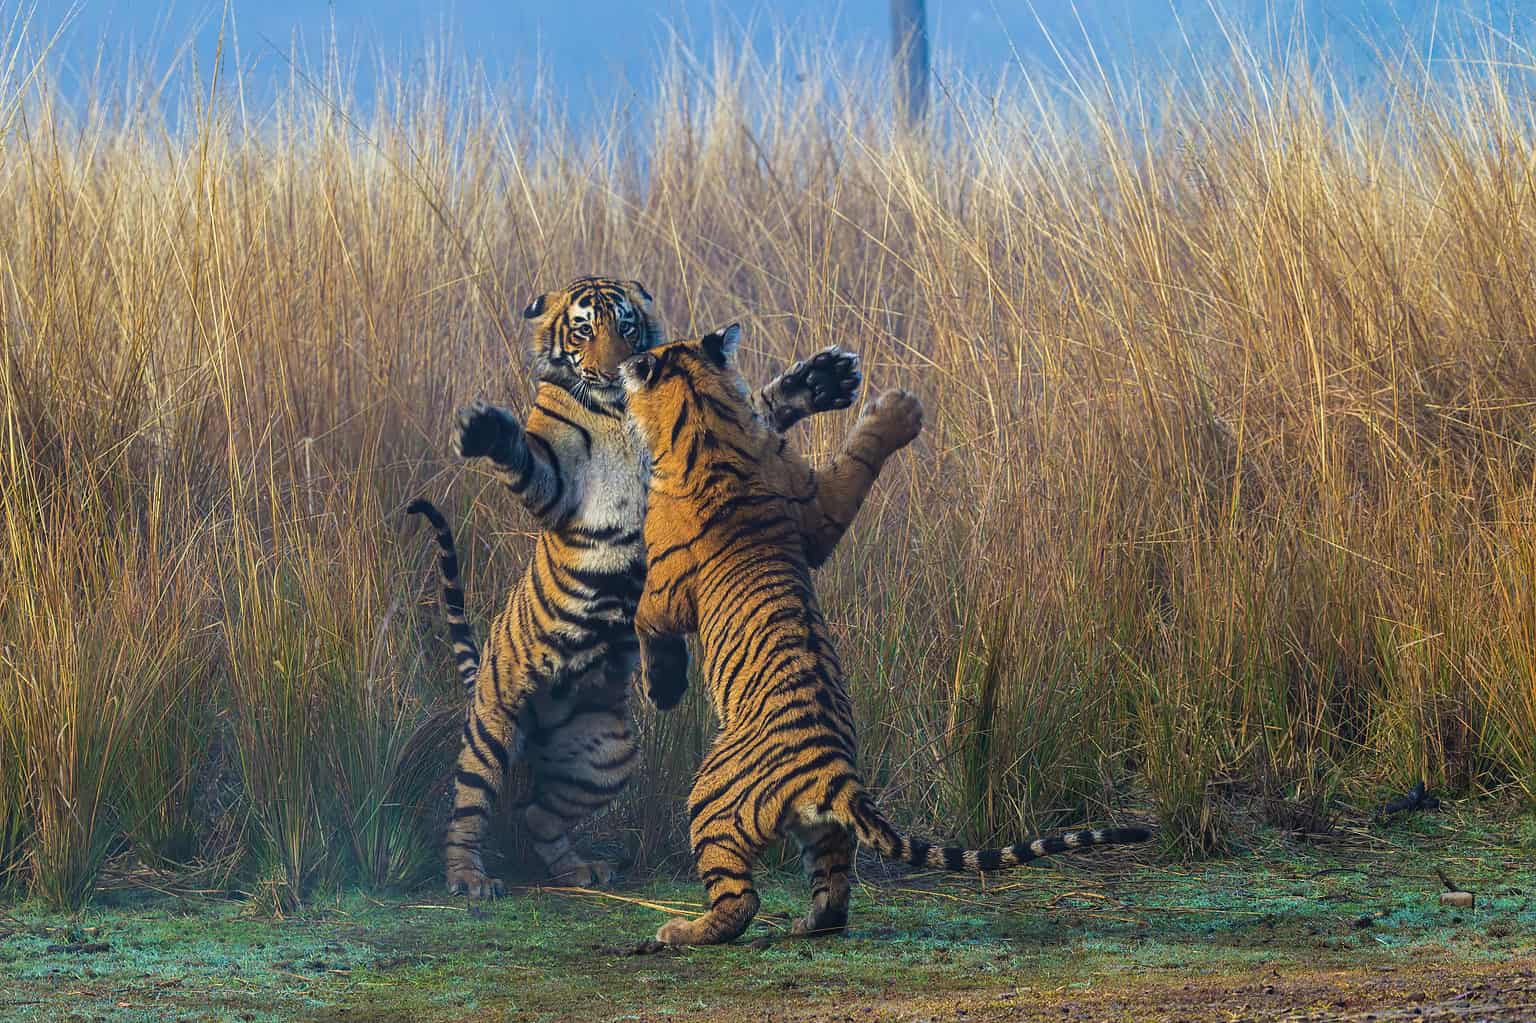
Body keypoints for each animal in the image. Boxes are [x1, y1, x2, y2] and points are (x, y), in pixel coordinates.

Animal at [409, 276, 868, 898]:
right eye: (583, 330)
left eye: (626, 326)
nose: (617, 370)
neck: (616, 411)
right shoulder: (558, 487)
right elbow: (527, 464)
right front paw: (486, 430)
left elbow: (759, 408)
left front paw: (821, 380)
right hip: (493, 723)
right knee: (467, 807)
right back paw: (468, 878)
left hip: (605, 754)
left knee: (537, 813)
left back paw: (579, 871)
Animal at [619, 324, 1153, 947]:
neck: (710, 422)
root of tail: (832, 771)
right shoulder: (815, 509)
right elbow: (850, 456)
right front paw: (886, 408)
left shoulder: (666, 586)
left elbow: (647, 622)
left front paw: (661, 688)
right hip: (822, 832)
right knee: (833, 890)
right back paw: (806, 923)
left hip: (711, 801)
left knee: (740, 900)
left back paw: (681, 931)